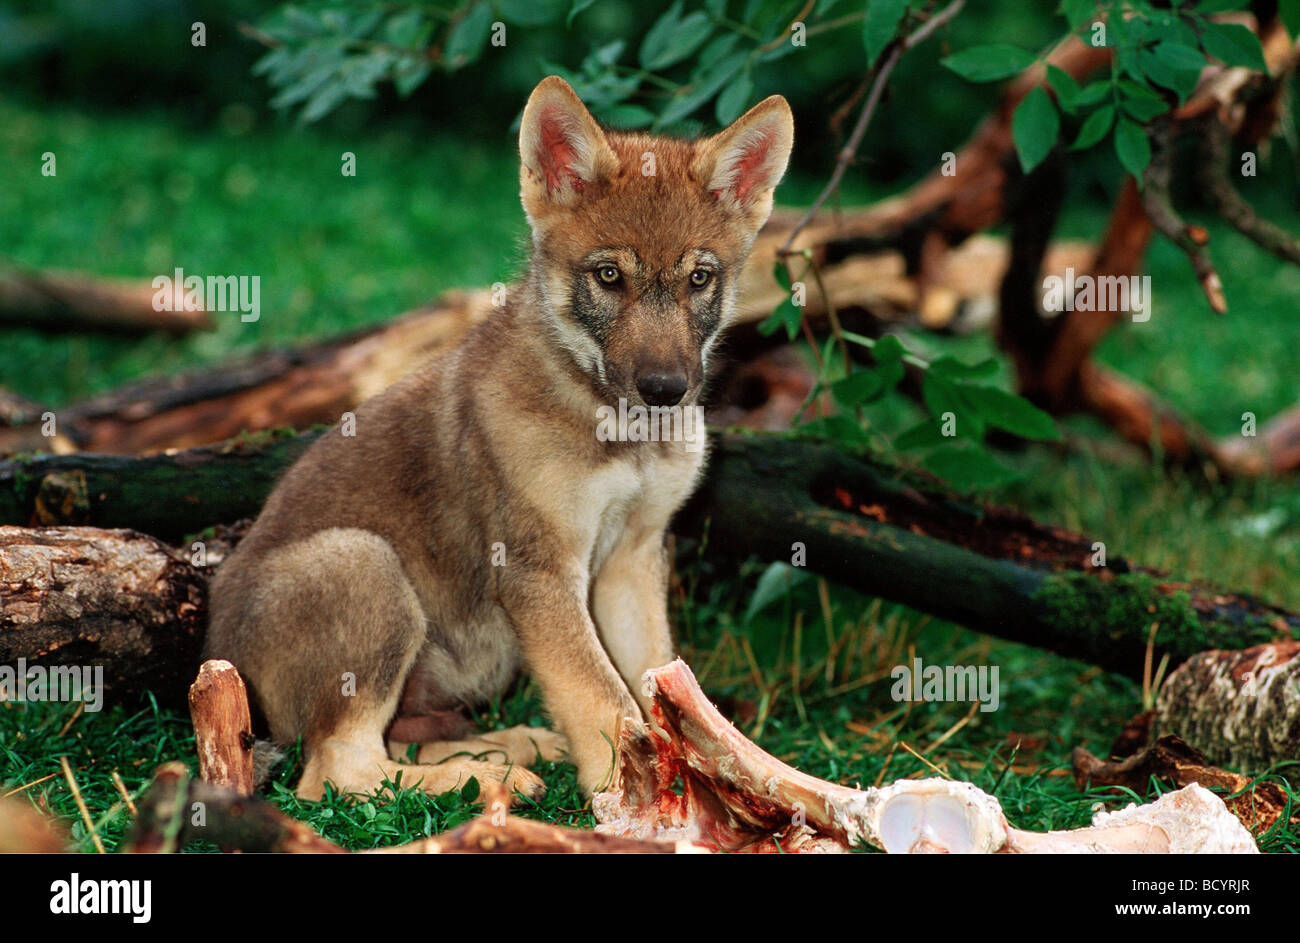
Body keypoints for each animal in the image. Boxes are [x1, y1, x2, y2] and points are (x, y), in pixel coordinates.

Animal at [205, 75, 794, 801]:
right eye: (608, 276)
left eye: (700, 279)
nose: (665, 389)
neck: (617, 430)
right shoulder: (538, 569)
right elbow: (602, 695)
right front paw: (629, 796)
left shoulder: (632, 558)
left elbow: (656, 686)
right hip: (366, 563)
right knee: (337, 771)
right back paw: (485, 780)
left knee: (395, 742)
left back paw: (516, 747)